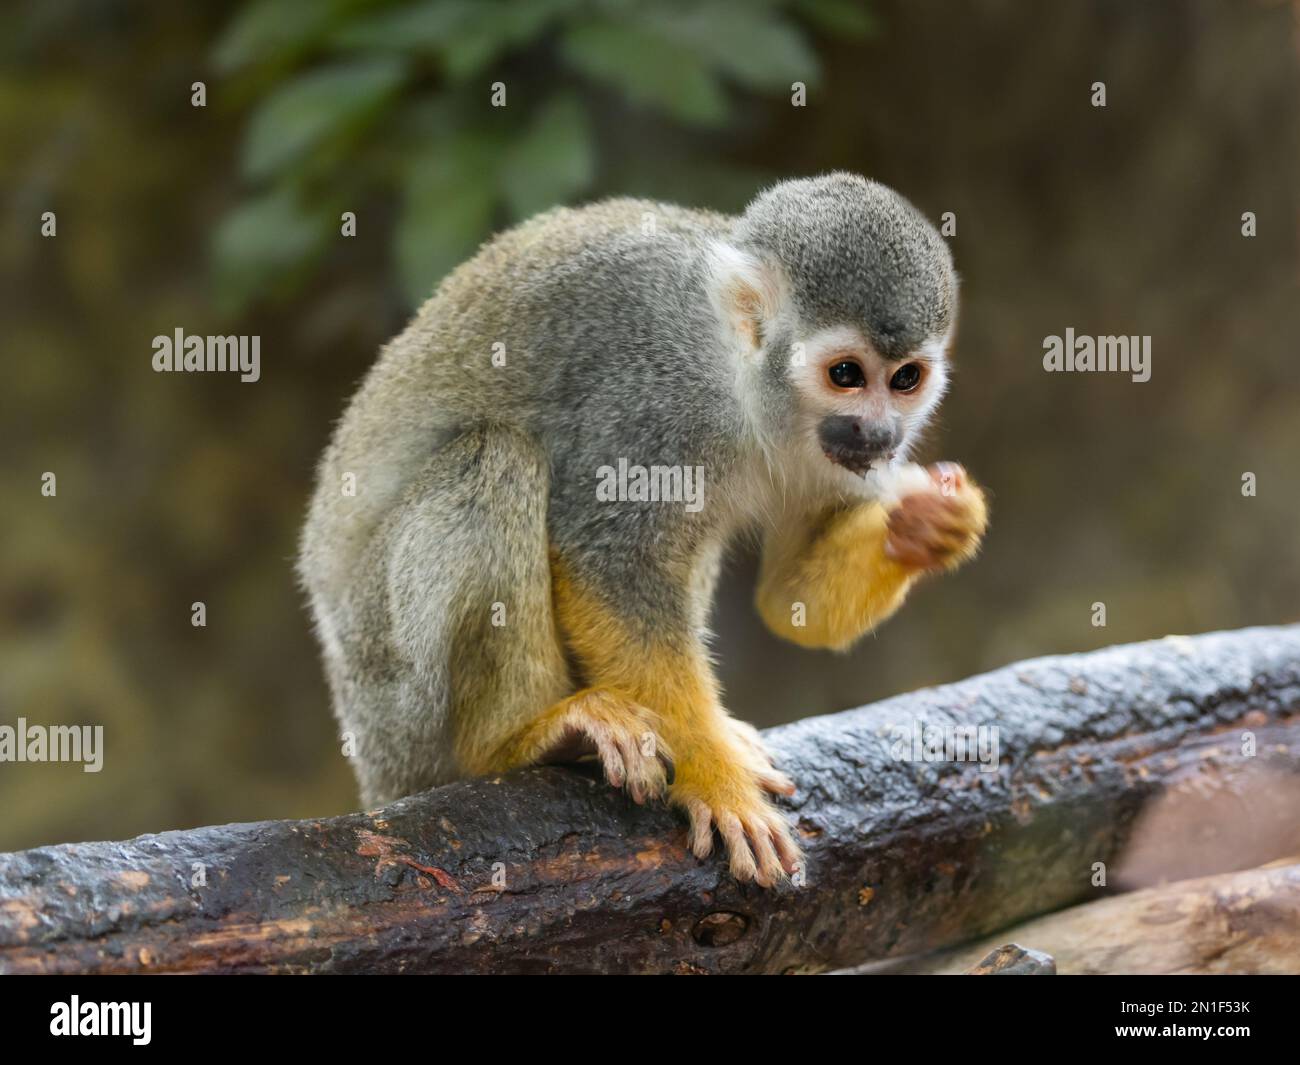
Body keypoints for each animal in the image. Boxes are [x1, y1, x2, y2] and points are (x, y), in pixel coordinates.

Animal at [298, 172, 988, 887]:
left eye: (905, 379)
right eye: (846, 374)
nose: (879, 433)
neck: (742, 384)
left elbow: (788, 605)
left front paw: (929, 524)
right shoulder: (656, 397)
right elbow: (609, 563)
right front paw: (715, 779)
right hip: (391, 693)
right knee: (496, 461)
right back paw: (522, 740)